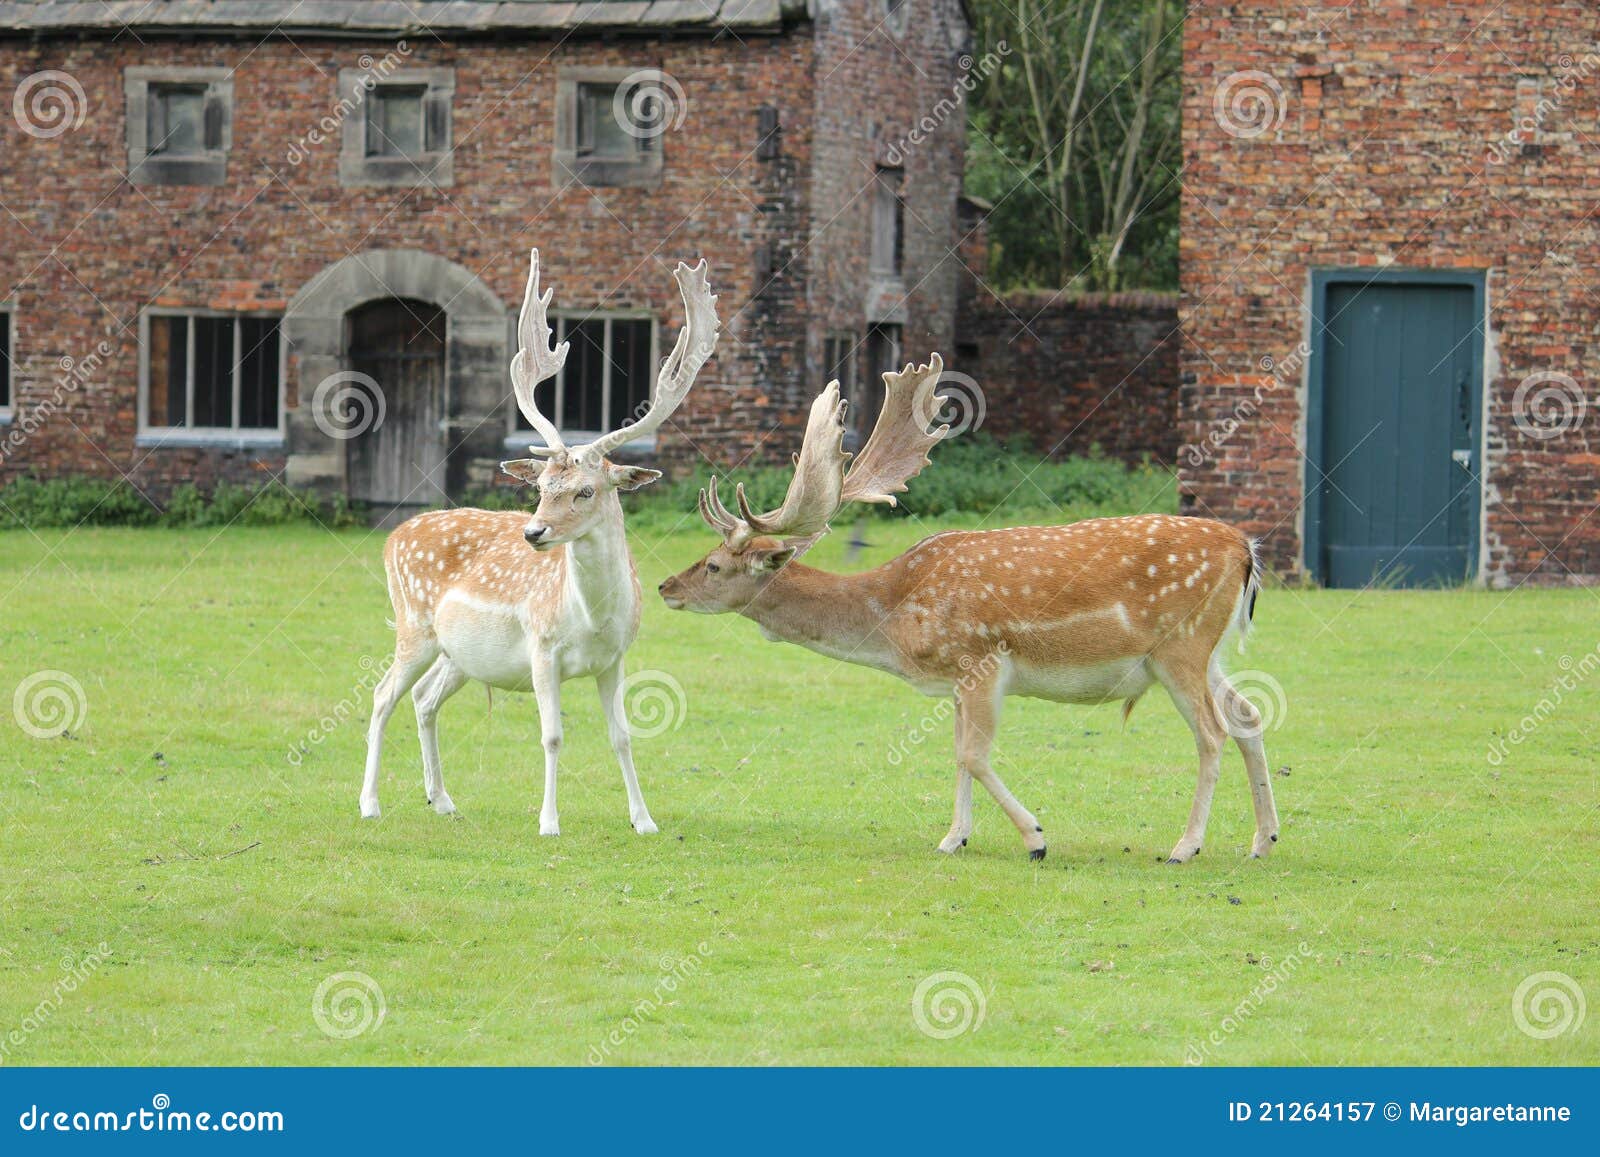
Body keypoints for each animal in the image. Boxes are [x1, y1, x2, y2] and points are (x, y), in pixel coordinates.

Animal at [359, 249, 720, 835]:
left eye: (585, 490)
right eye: (540, 487)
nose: (533, 532)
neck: (591, 619)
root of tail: (394, 536)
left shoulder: (616, 657)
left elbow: (622, 736)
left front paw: (644, 820)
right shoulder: (541, 648)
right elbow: (552, 735)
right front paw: (549, 822)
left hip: (459, 653)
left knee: (424, 697)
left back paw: (442, 798)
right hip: (413, 623)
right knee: (382, 693)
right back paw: (369, 802)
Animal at [658, 355, 1280, 863]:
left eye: (714, 565)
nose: (666, 586)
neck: (895, 619)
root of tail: (1245, 551)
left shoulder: (980, 660)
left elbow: (976, 756)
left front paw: (1035, 838)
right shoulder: (956, 680)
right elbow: (957, 754)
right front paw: (953, 838)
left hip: (1181, 646)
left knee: (1212, 733)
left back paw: (1185, 846)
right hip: (1205, 652)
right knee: (1248, 715)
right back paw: (1262, 840)